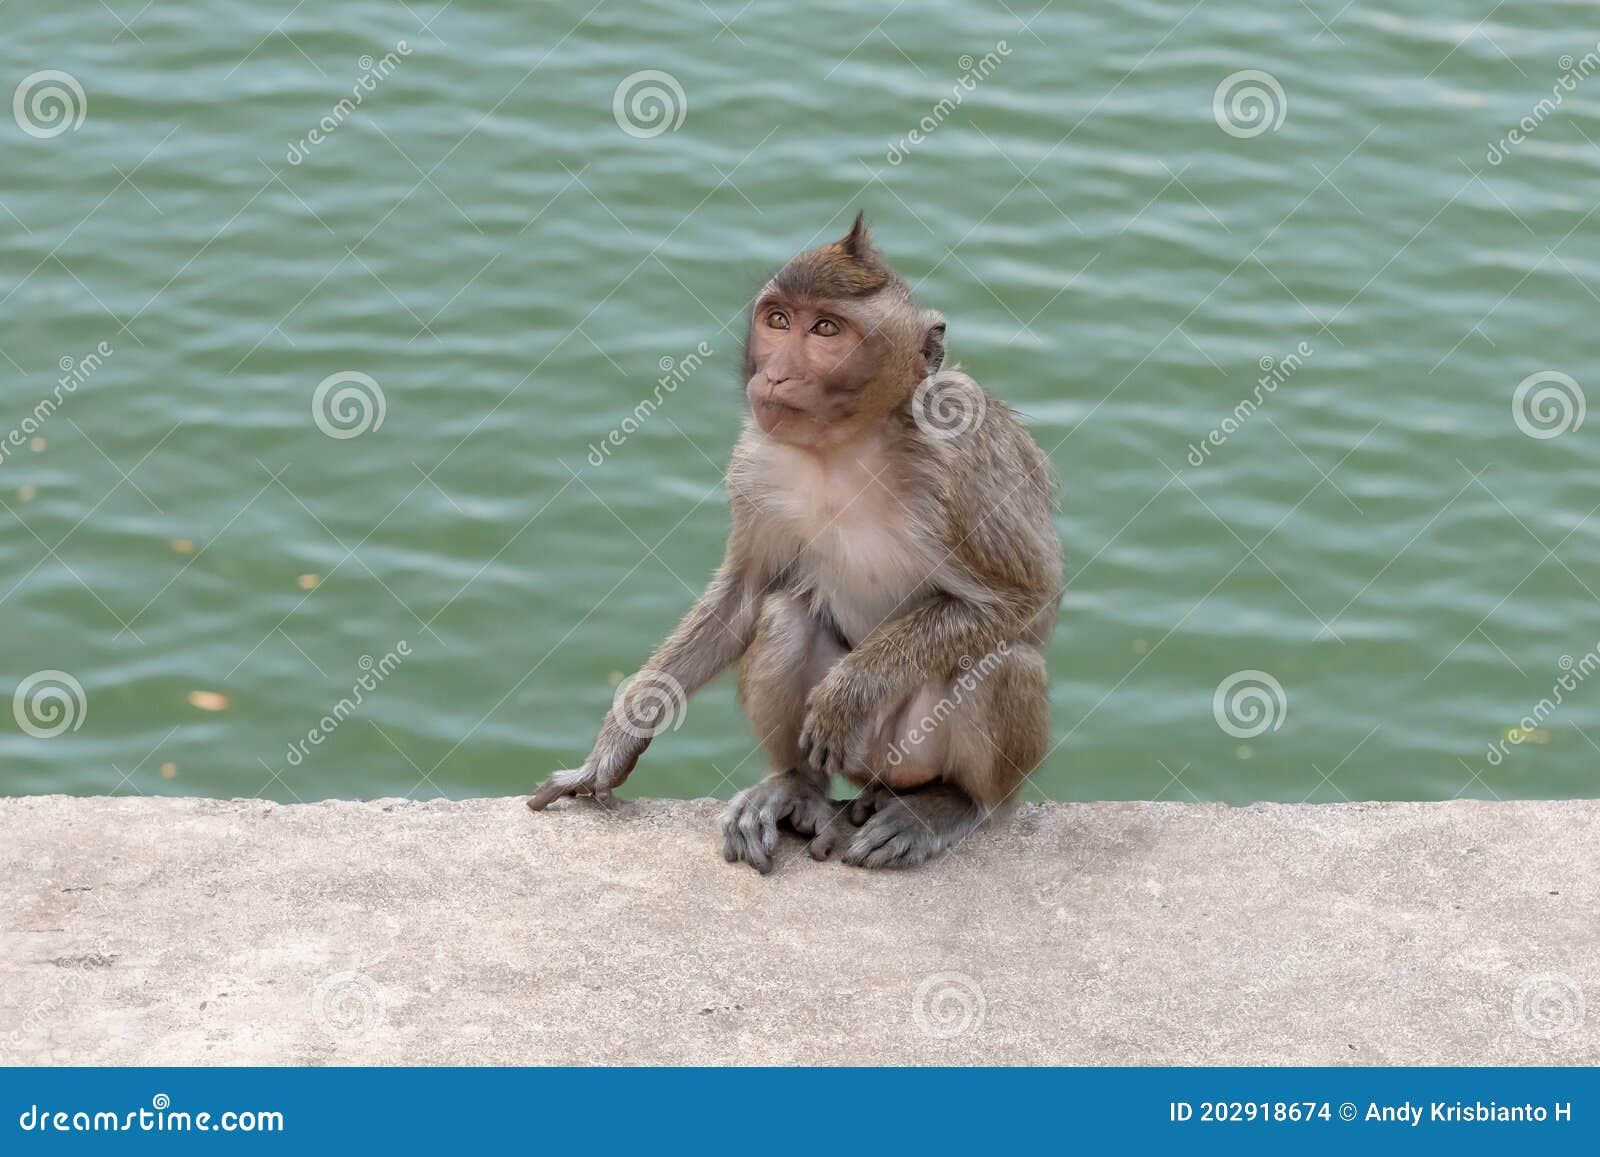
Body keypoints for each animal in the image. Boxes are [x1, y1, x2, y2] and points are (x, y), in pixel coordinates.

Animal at [528, 213, 1062, 871]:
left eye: (826, 329)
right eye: (778, 320)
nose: (776, 372)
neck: (849, 445)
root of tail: (874, 780)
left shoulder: (964, 451)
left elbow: (1027, 597)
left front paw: (849, 692)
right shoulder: (756, 459)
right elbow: (745, 593)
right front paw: (616, 743)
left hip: (913, 753)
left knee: (1000, 662)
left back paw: (948, 806)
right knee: (785, 614)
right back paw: (794, 789)